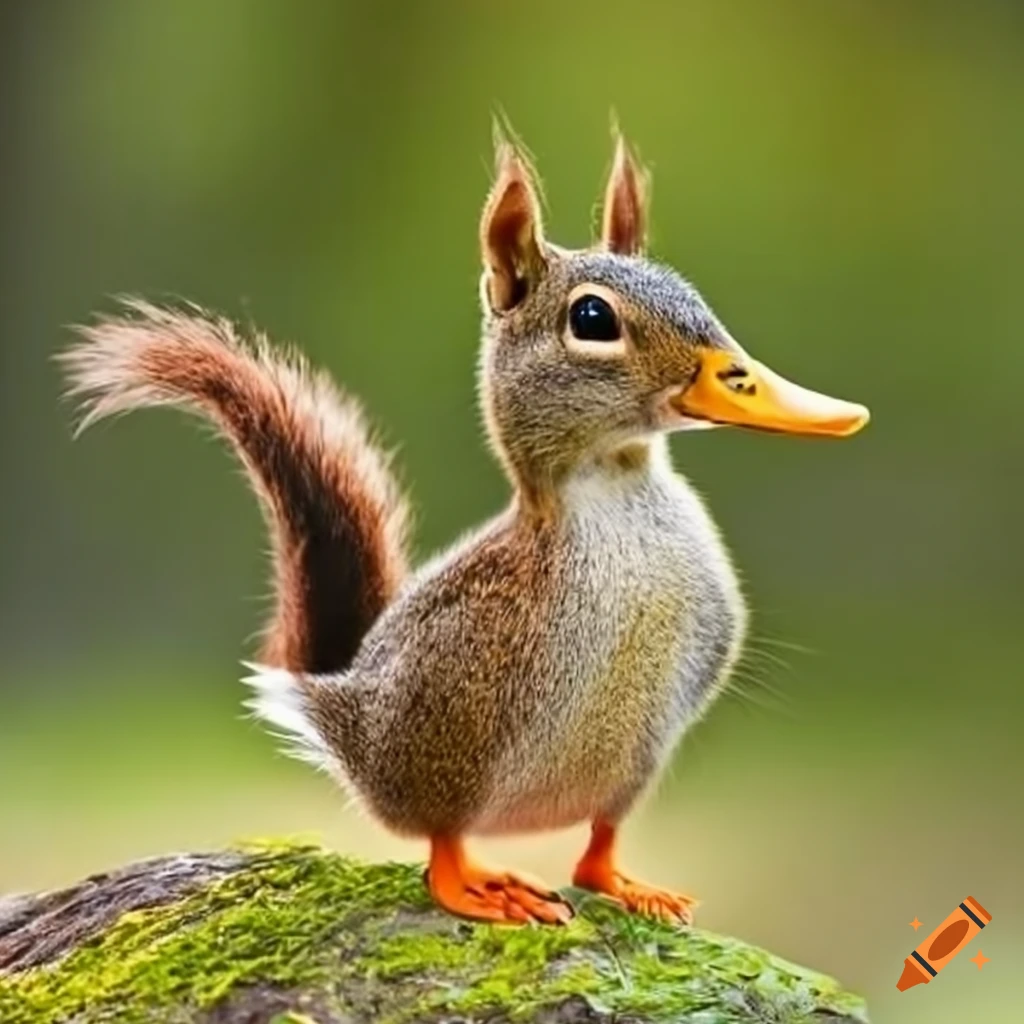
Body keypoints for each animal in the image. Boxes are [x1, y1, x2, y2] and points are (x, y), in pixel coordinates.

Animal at [61, 131, 869, 926]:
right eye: (593, 320)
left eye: (690, 290)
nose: (747, 378)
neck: (619, 495)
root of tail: (340, 702)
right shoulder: (453, 707)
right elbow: (443, 835)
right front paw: (469, 887)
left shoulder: (641, 756)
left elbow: (602, 841)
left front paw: (627, 885)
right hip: (423, 749)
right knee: (442, 835)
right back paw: (481, 885)